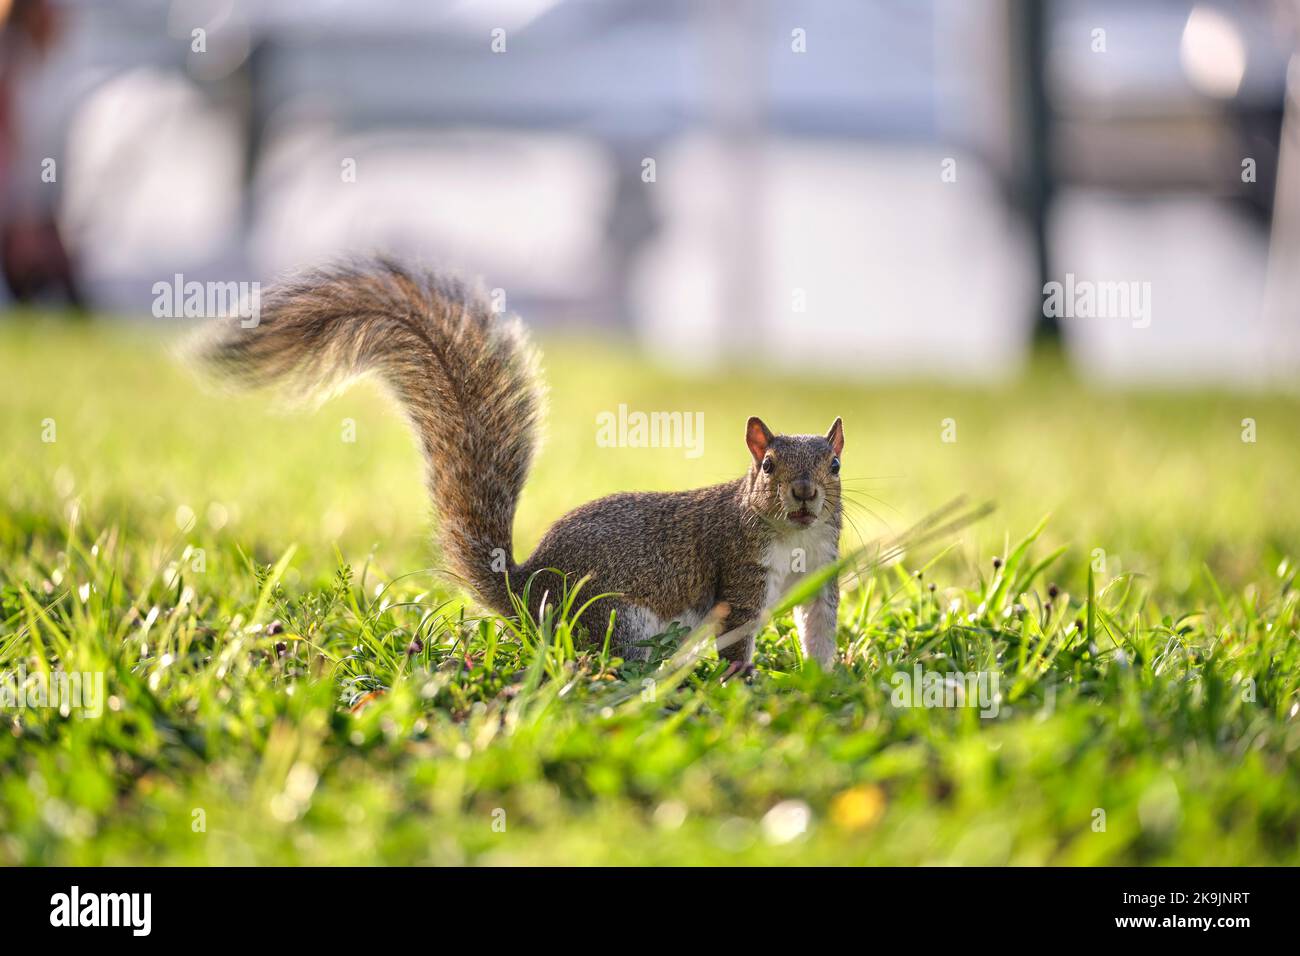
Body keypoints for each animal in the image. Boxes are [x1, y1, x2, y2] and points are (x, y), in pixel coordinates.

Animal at [197, 259, 844, 675]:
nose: (804, 493)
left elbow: (818, 630)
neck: (794, 539)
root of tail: (529, 585)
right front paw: (745, 683)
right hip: (618, 618)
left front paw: (827, 678)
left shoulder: (821, 577)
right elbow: (736, 637)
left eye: (835, 464)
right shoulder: (738, 573)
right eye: (768, 465)